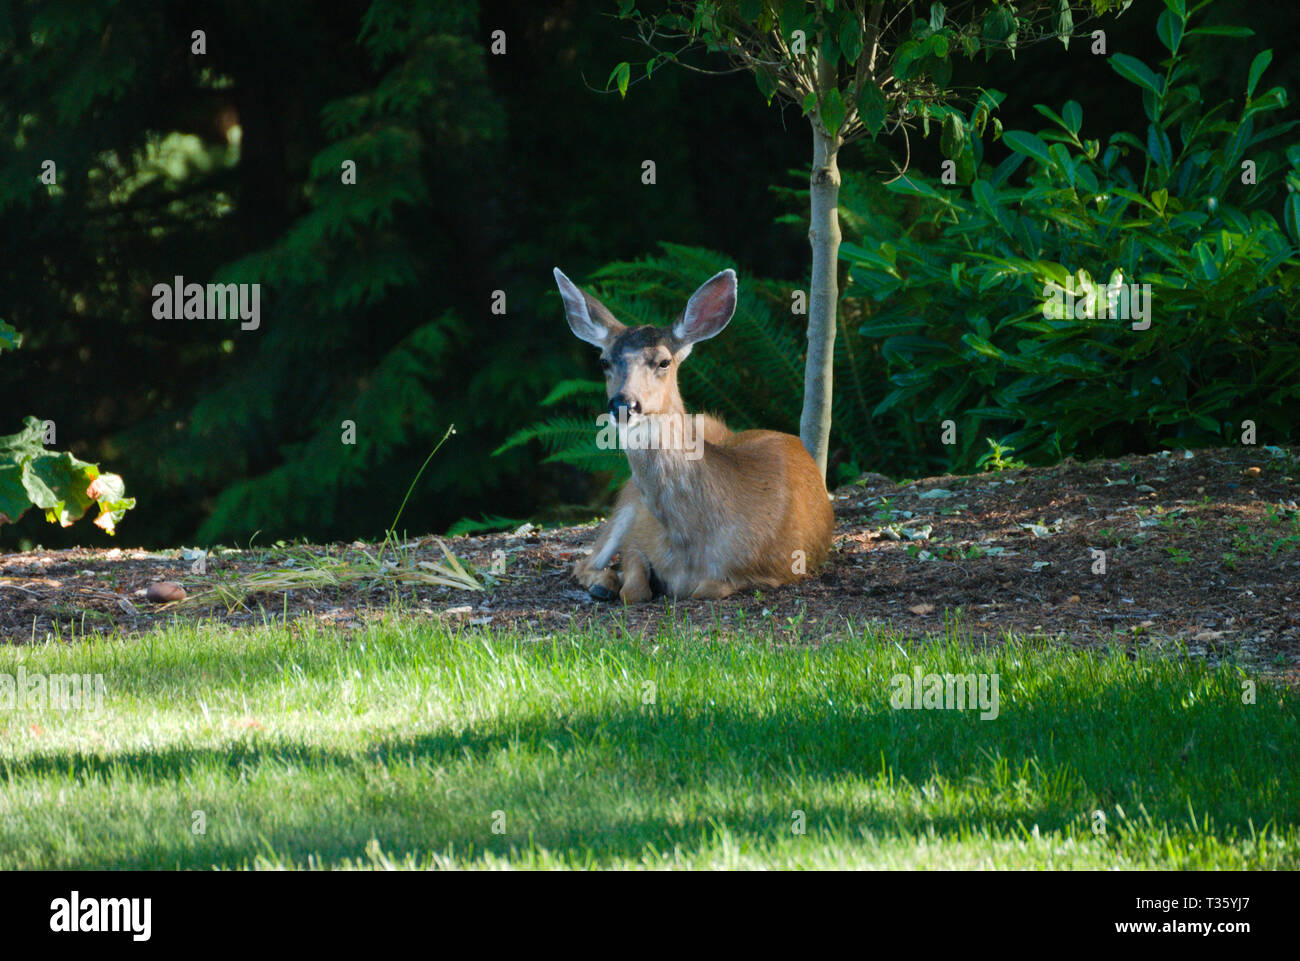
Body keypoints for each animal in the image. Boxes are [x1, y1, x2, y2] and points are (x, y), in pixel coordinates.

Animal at [553, 266, 835, 603]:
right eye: (604, 361)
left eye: (664, 361)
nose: (623, 404)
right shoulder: (636, 539)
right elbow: (633, 588)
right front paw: (620, 581)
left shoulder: (770, 570)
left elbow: (706, 589)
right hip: (627, 501)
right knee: (584, 562)